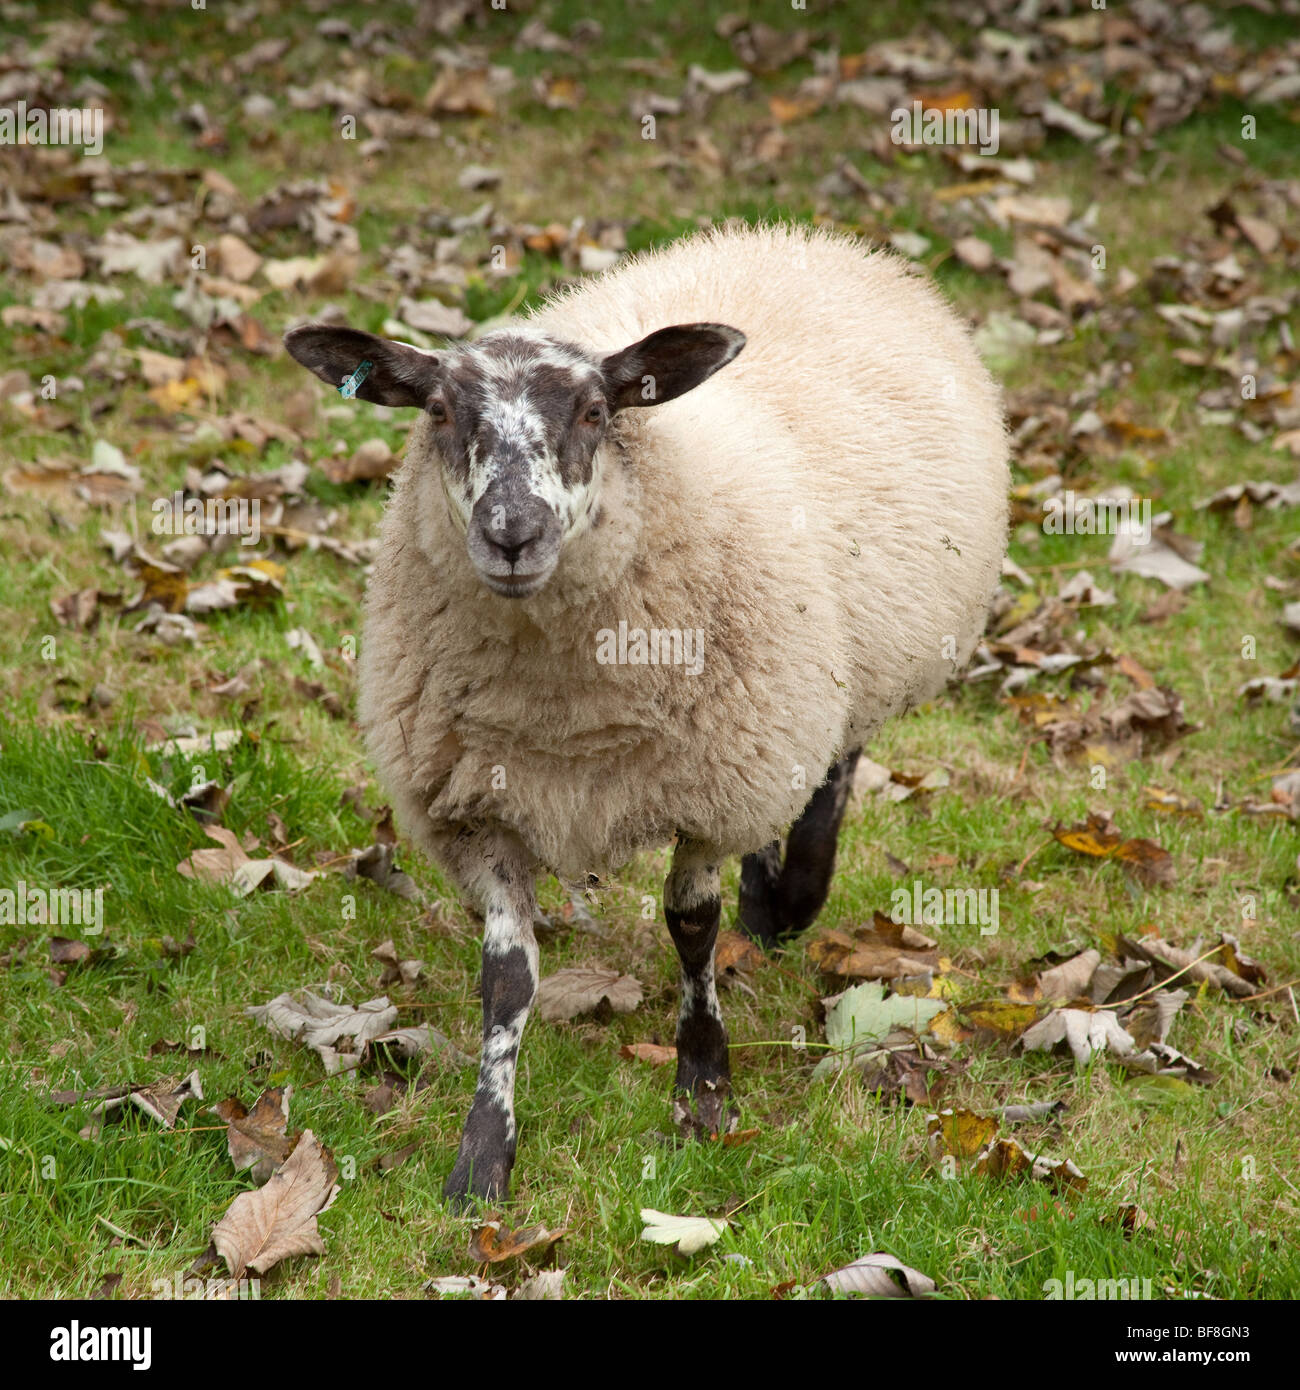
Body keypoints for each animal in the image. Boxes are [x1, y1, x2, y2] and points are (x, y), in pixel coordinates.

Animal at [285, 223, 1008, 1206]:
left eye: (597, 411)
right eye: (436, 410)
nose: (511, 533)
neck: (561, 708)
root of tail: (798, 239)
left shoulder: (715, 784)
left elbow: (691, 929)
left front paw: (703, 1093)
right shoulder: (475, 806)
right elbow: (506, 980)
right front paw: (483, 1156)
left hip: (843, 668)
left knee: (830, 772)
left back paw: (783, 898)